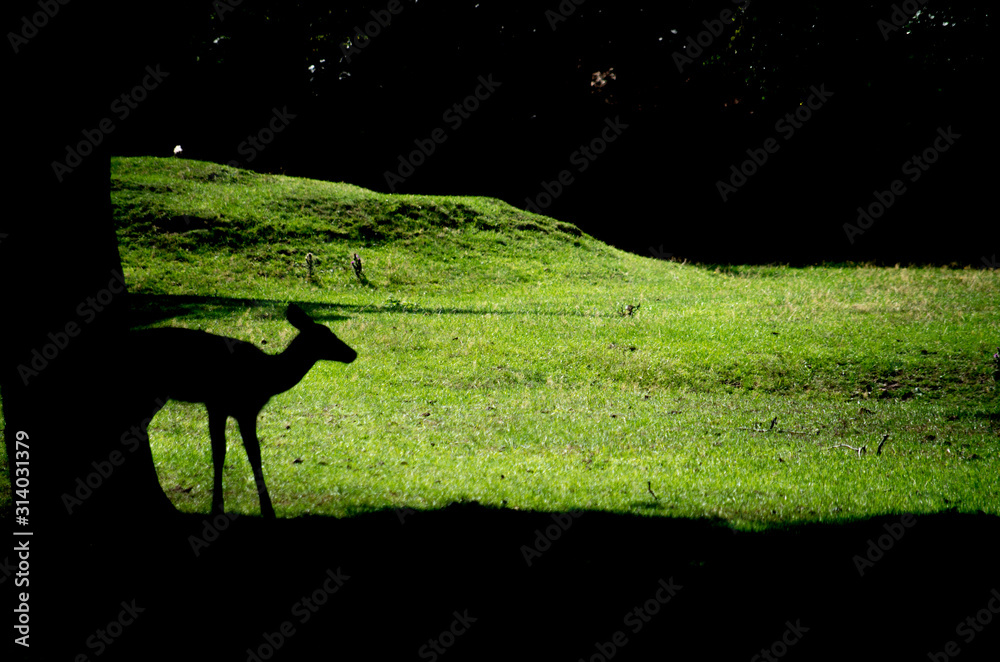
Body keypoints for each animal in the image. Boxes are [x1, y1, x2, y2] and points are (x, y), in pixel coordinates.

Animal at [129, 304, 356, 518]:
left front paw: (266, 508)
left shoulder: (247, 410)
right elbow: (220, 451)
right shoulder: (218, 404)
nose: (353, 353)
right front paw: (219, 507)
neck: (267, 376)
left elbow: (253, 452)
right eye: (327, 337)